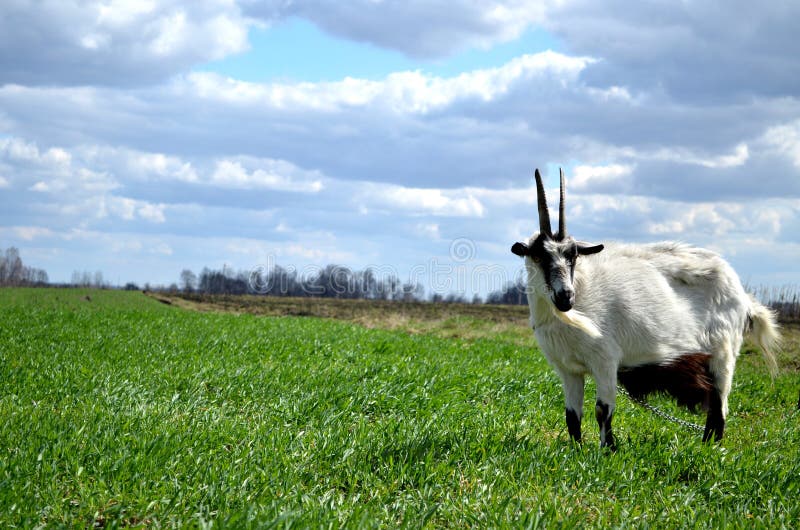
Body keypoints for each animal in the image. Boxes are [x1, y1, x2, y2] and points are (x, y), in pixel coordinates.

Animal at [511, 168, 780, 449]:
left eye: (573, 256)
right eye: (538, 255)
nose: (566, 297)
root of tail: (744, 297)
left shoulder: (605, 361)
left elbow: (602, 410)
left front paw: (607, 450)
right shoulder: (568, 370)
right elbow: (572, 415)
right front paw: (577, 449)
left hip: (724, 355)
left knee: (719, 408)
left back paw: (712, 448)